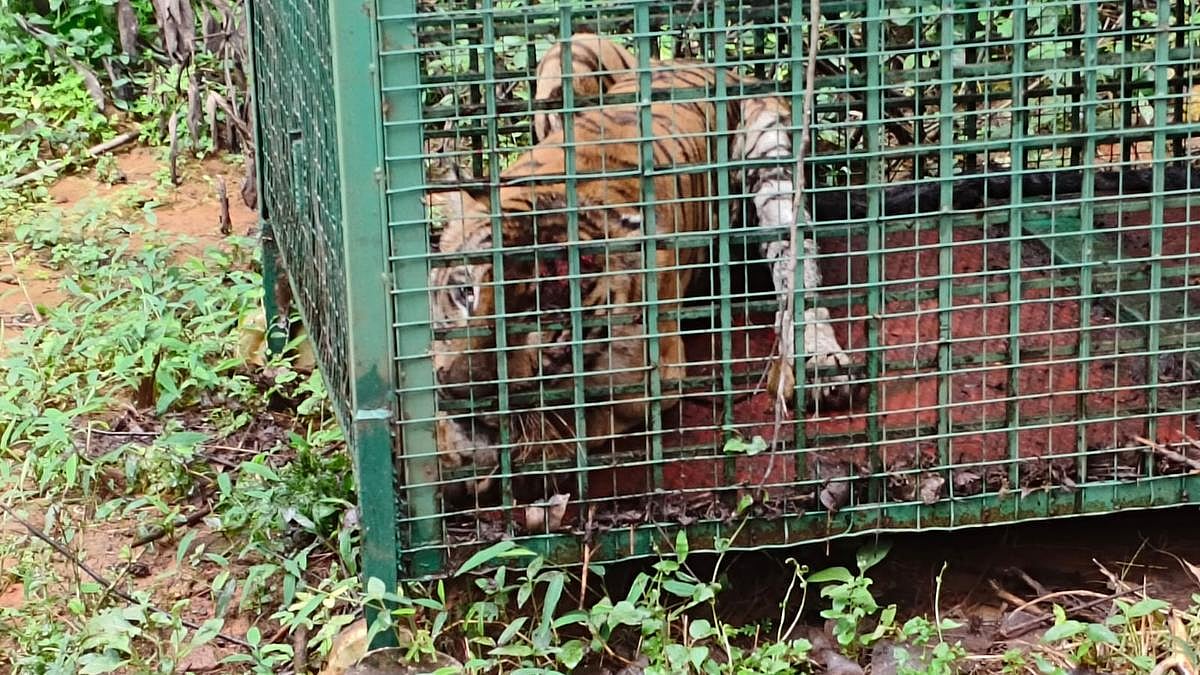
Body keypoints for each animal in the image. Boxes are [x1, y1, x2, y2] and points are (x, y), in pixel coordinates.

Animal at [428, 33, 853, 502]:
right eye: (466, 294)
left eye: (543, 323)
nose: (464, 394)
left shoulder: (656, 373)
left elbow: (578, 424)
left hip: (772, 155)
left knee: (798, 270)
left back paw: (820, 363)